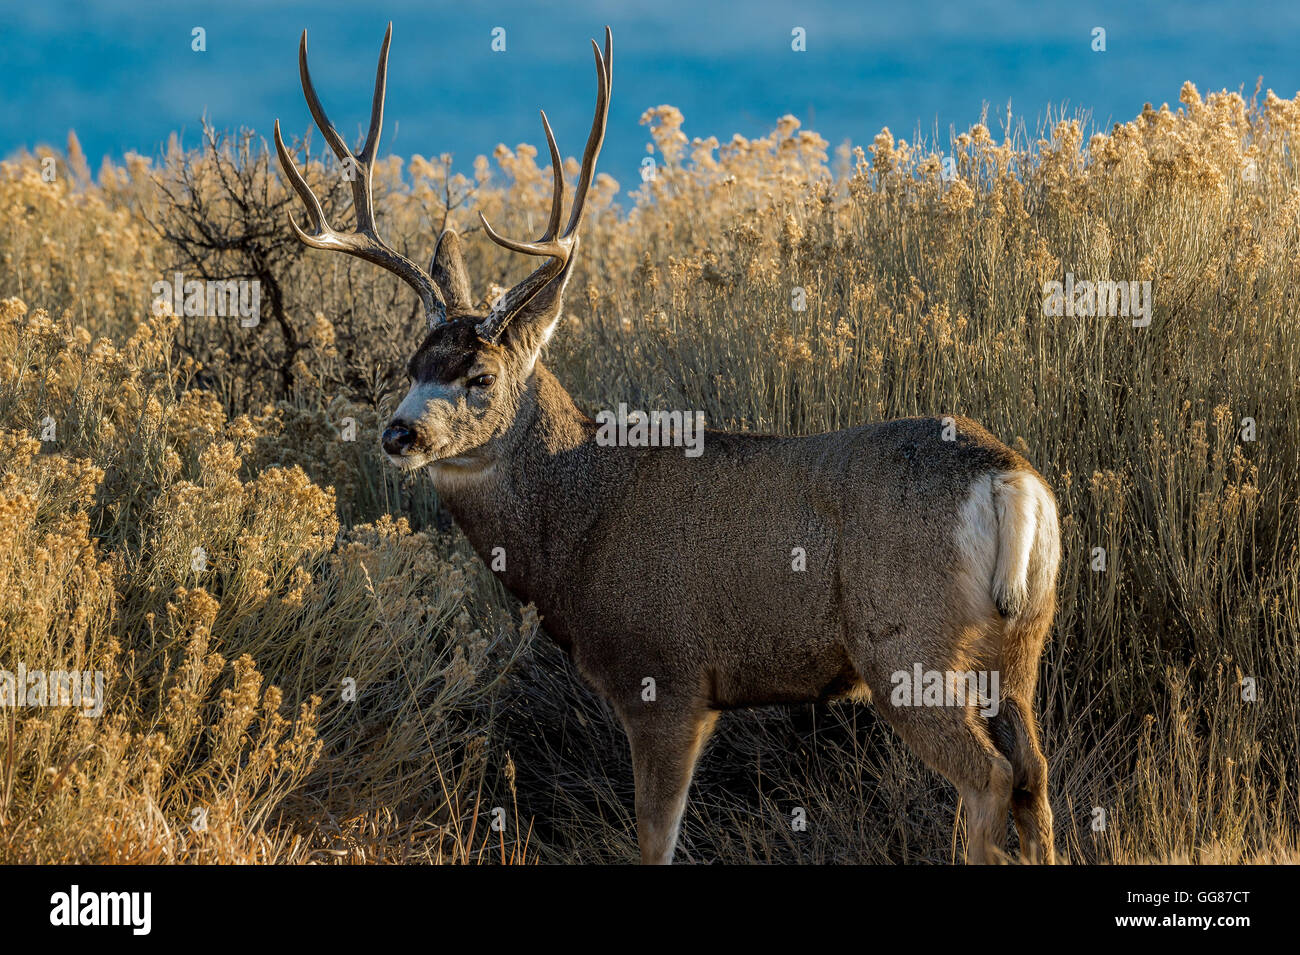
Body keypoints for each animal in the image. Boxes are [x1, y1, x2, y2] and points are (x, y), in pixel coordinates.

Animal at [274, 23, 1061, 865]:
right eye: (410, 366)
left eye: (479, 374)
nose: (399, 433)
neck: (578, 521)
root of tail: (1009, 479)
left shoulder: (665, 678)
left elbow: (654, 839)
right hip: (1021, 647)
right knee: (1033, 776)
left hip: (907, 644)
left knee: (989, 776)